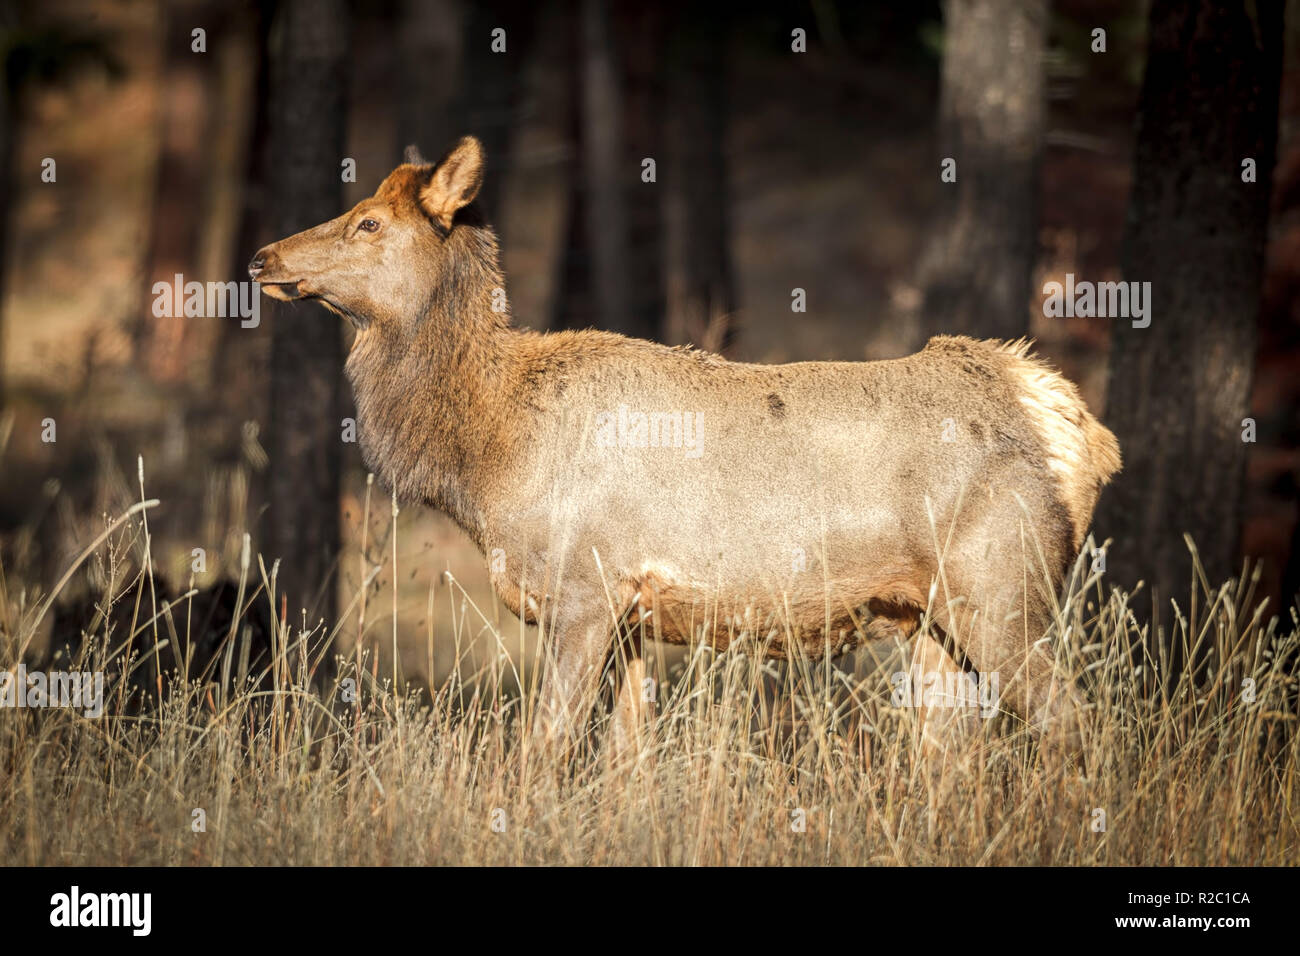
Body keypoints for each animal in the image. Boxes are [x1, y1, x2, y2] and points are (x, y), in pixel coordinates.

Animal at [249, 136, 1121, 759]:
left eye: (368, 222)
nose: (262, 256)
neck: (488, 458)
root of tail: (1073, 427)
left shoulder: (584, 589)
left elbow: (544, 751)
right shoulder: (634, 619)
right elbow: (625, 761)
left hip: (1001, 587)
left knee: (1080, 726)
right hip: (933, 617)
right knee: (952, 755)